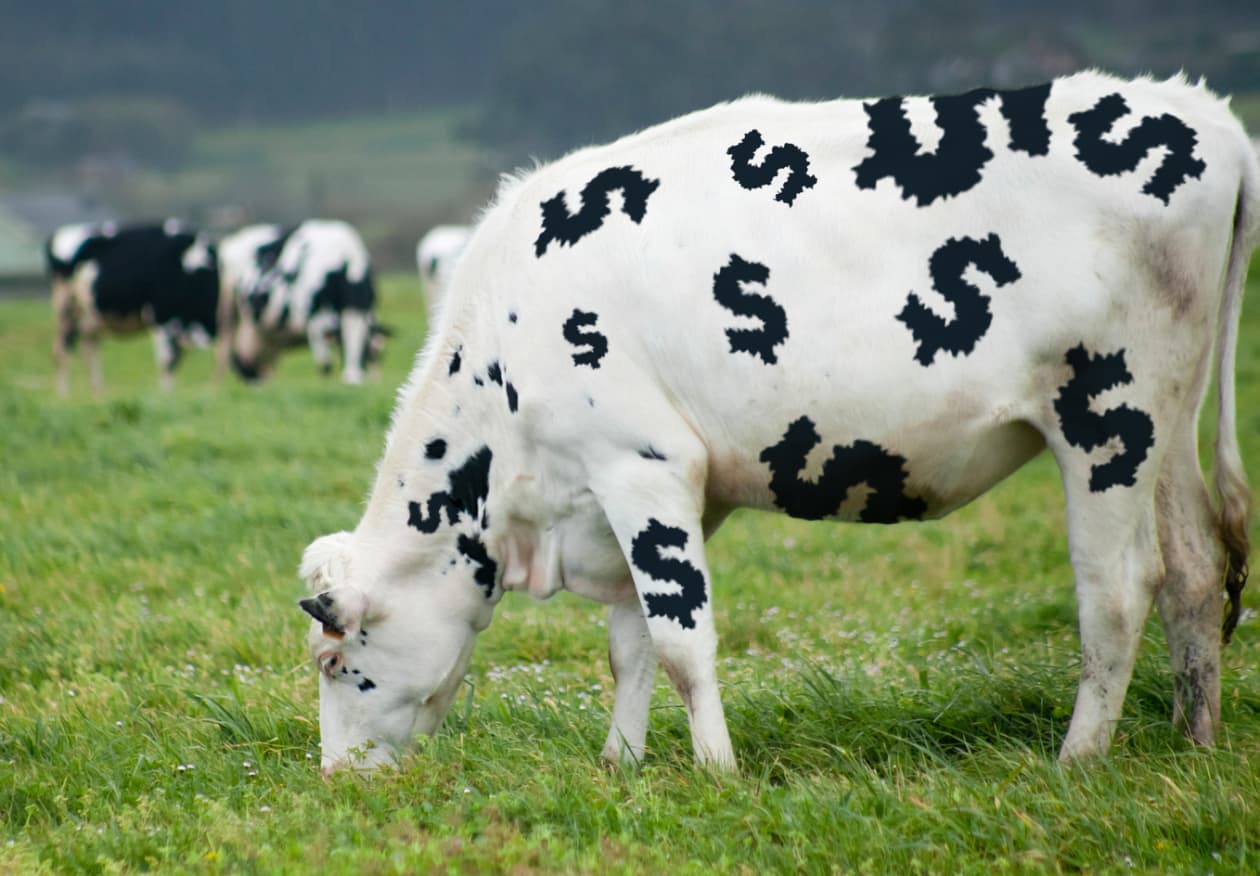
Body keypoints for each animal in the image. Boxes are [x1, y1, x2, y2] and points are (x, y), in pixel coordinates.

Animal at [47, 219, 219, 396]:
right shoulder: (161, 319)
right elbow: (167, 361)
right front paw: (167, 395)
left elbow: (174, 361)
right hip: (66, 307)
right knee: (62, 351)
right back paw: (63, 394)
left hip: (90, 315)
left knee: (89, 349)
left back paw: (99, 393)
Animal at [218, 219, 384, 384]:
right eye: (342, 342)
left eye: (367, 352)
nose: (353, 381)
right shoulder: (315, 323)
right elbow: (325, 365)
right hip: (228, 311)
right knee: (226, 350)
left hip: (261, 331)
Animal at [298, 71, 1257, 774]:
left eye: (336, 661)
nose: (338, 776)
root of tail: (1204, 113)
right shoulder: (635, 497)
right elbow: (630, 644)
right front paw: (620, 765)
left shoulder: (641, 467)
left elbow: (680, 642)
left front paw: (716, 773)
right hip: (1166, 421)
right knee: (1194, 569)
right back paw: (1194, 742)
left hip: (1104, 419)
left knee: (1120, 586)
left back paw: (1079, 760)